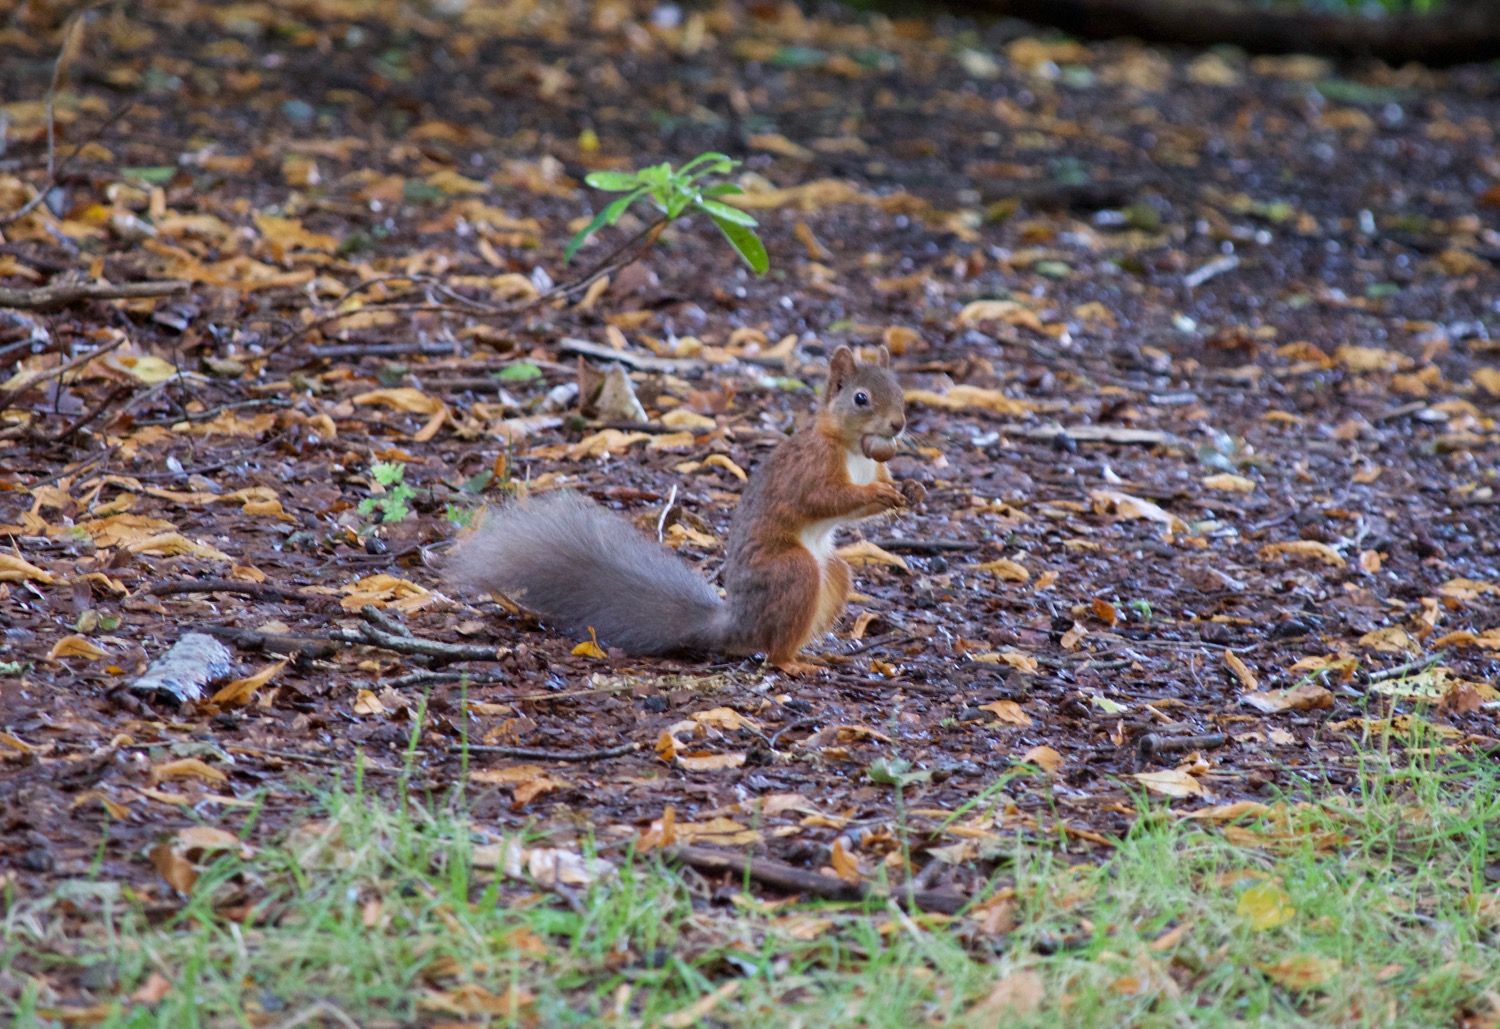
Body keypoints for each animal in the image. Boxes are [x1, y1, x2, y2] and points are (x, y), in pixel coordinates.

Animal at [447, 345, 925, 674]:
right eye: (861, 398)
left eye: (902, 393)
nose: (898, 425)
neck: (853, 449)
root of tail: (735, 623)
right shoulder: (809, 471)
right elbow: (823, 499)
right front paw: (878, 494)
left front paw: (911, 489)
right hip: (792, 571)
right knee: (773, 651)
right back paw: (792, 662)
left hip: (833, 574)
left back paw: (821, 655)